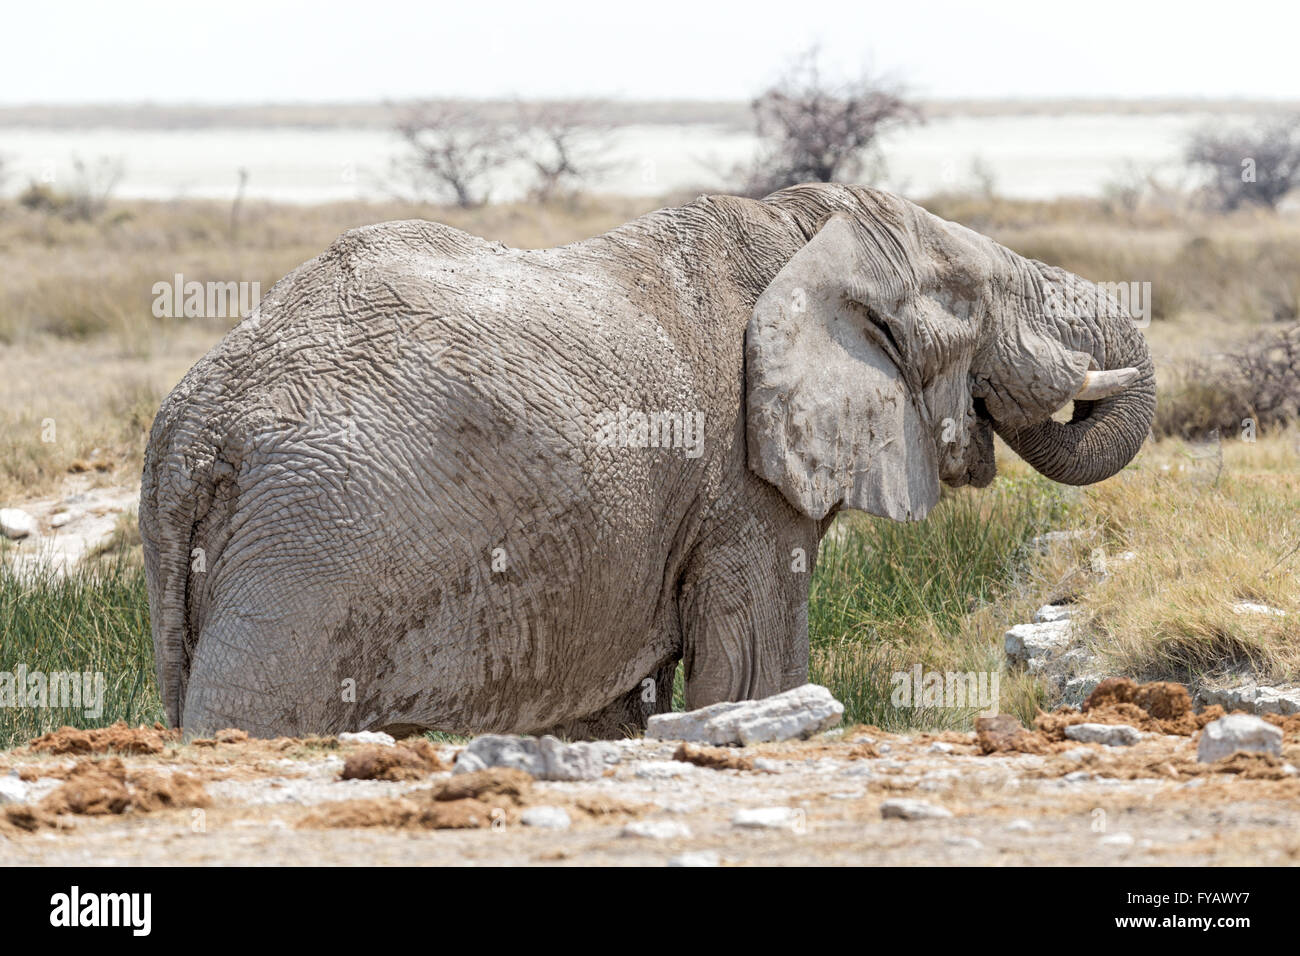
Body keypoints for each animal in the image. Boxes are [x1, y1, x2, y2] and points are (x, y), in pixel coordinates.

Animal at [139, 182, 1155, 739]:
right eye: (973, 299)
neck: (800, 228)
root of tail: (193, 431)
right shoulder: (741, 485)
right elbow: (754, 673)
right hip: (306, 560)